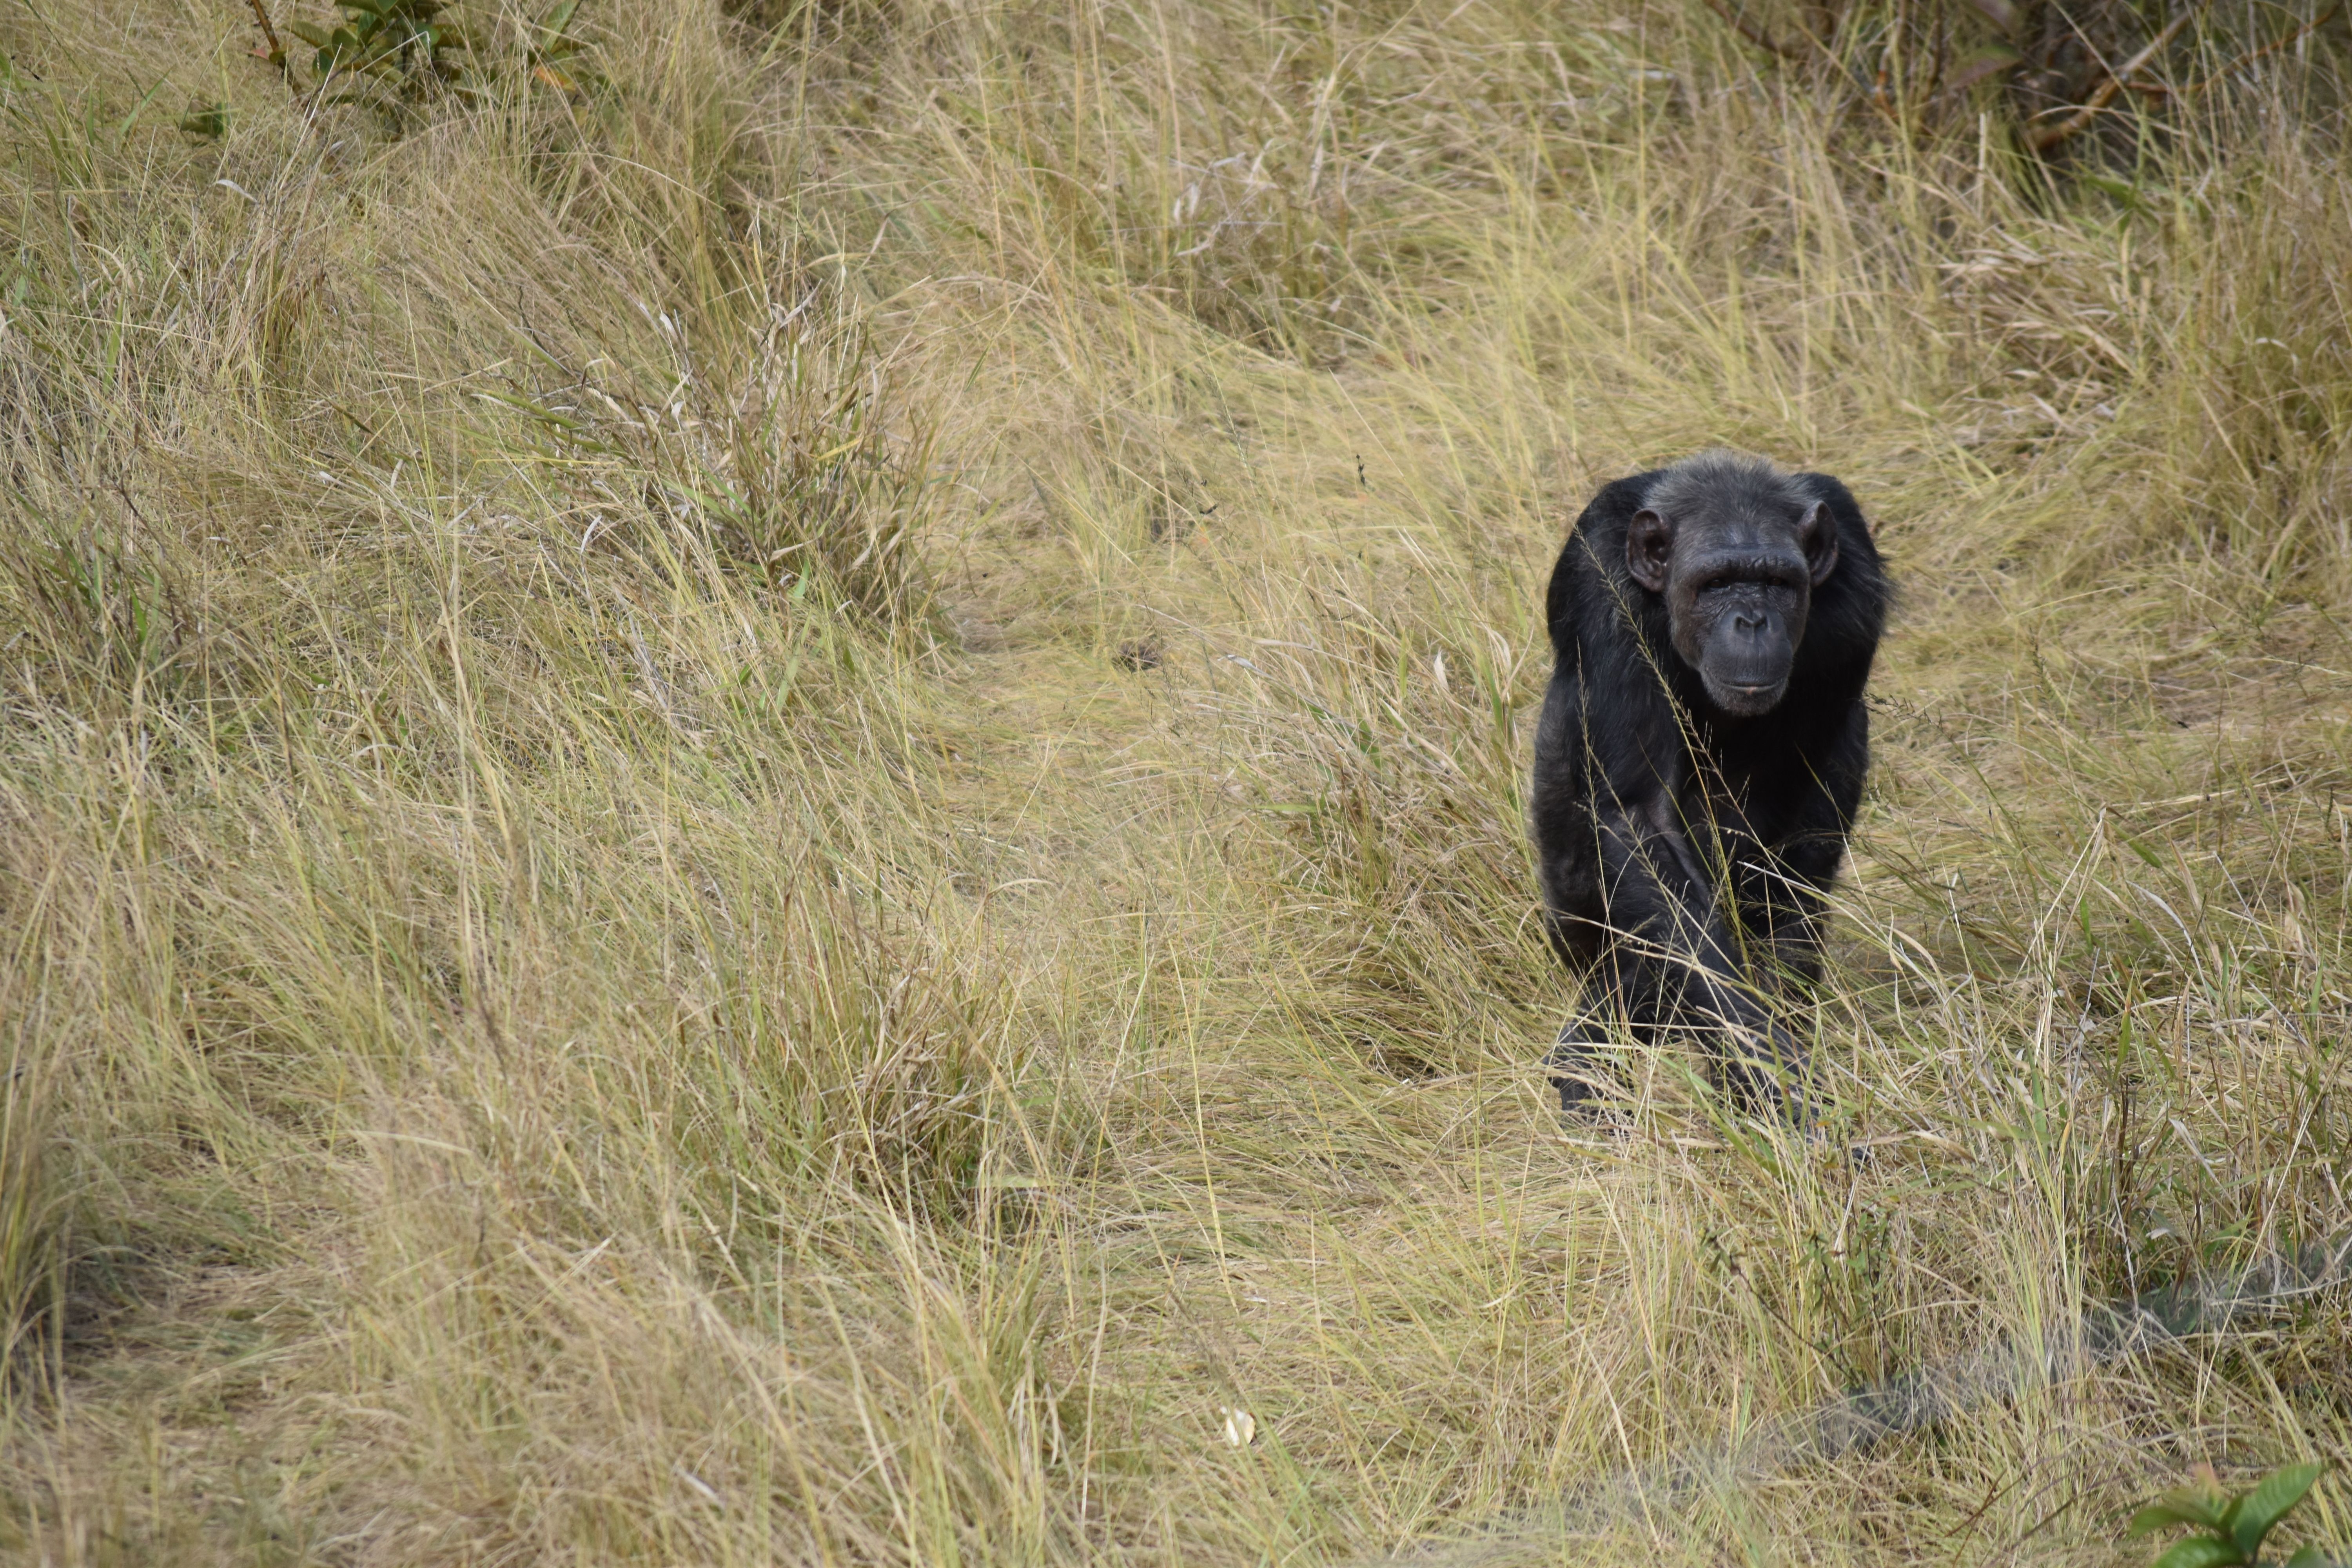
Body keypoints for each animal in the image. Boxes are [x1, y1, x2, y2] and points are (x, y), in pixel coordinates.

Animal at [1530, 449, 1890, 1119]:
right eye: (1717, 583)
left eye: (1777, 583)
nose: (1752, 621)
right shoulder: (1603, 587)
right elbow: (1640, 818)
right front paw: (1772, 1071)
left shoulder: (1854, 596)